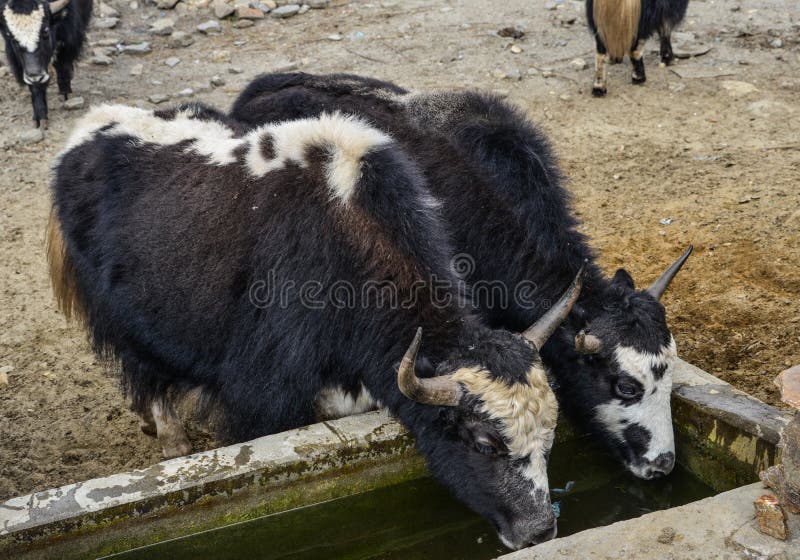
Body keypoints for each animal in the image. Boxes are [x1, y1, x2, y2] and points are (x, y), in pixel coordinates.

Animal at [0, 0, 92, 128]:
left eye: (45, 32)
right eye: (11, 38)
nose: (36, 76)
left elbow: (62, 61)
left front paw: (65, 93)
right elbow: (35, 87)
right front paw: (40, 117)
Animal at [47, 102, 586, 549]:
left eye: (550, 436)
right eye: (484, 443)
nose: (540, 531)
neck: (352, 245)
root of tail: (88, 129)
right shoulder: (264, 395)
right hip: (119, 316)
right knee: (145, 374)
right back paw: (173, 442)